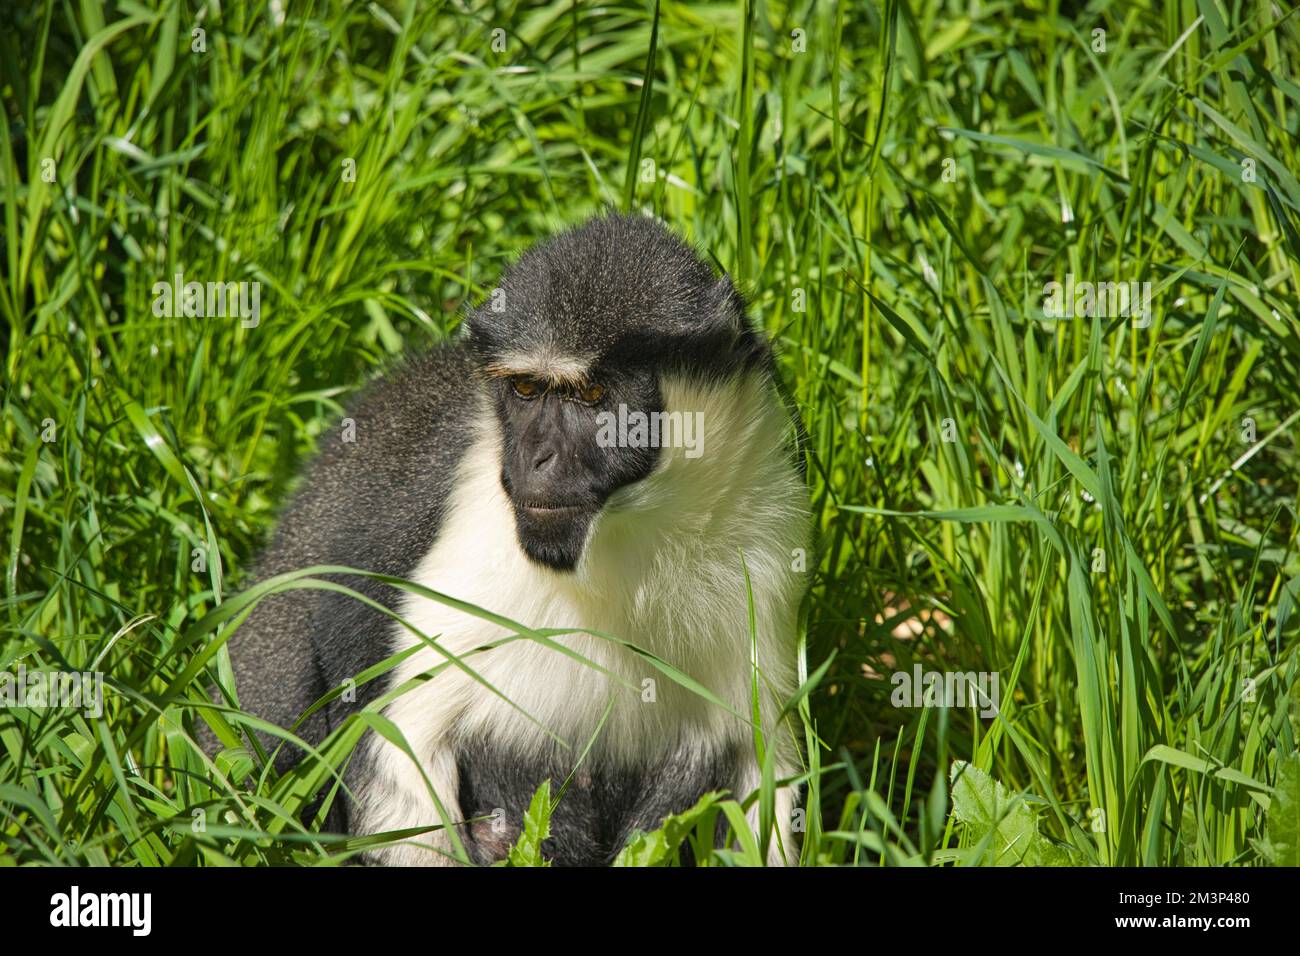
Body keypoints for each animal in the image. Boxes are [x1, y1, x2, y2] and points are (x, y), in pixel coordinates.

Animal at [214, 212, 811, 866]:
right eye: (525, 390)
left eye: (591, 396)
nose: (534, 457)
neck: (625, 541)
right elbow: (398, 744)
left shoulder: (766, 535)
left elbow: (763, 766)